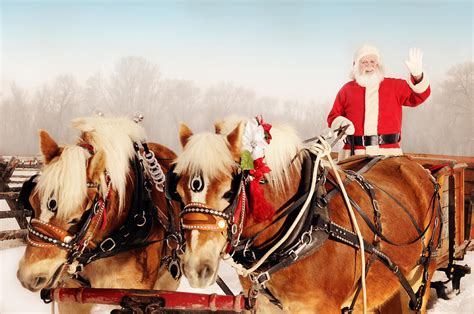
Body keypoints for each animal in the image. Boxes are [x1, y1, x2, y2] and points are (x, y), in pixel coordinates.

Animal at [169, 116, 440, 312]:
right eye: (179, 193)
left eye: (228, 192)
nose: (196, 268)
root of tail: (414, 165)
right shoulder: (267, 306)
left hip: (420, 278)